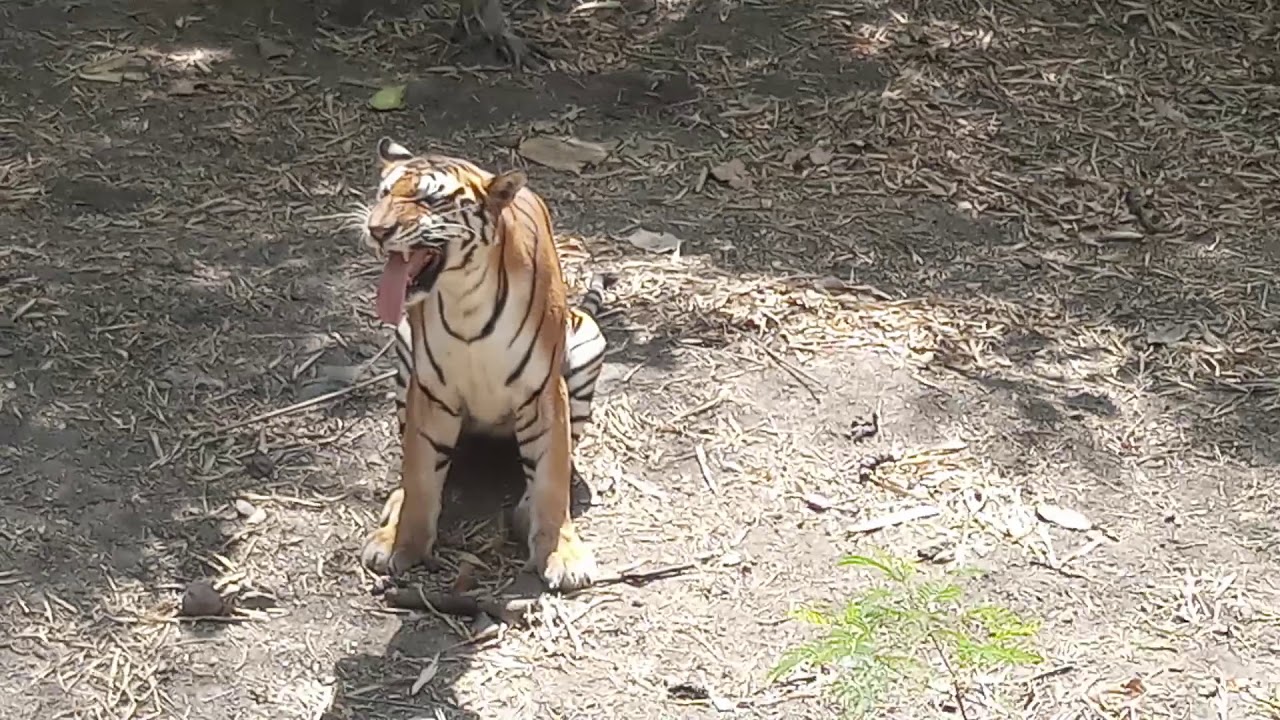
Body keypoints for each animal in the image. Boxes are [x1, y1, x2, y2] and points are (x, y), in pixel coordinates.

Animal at [355, 136, 614, 591]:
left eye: (429, 199)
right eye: (384, 193)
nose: (377, 230)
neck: (464, 296)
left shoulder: (544, 391)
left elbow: (551, 479)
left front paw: (562, 555)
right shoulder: (430, 392)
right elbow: (419, 476)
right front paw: (400, 543)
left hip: (587, 342)